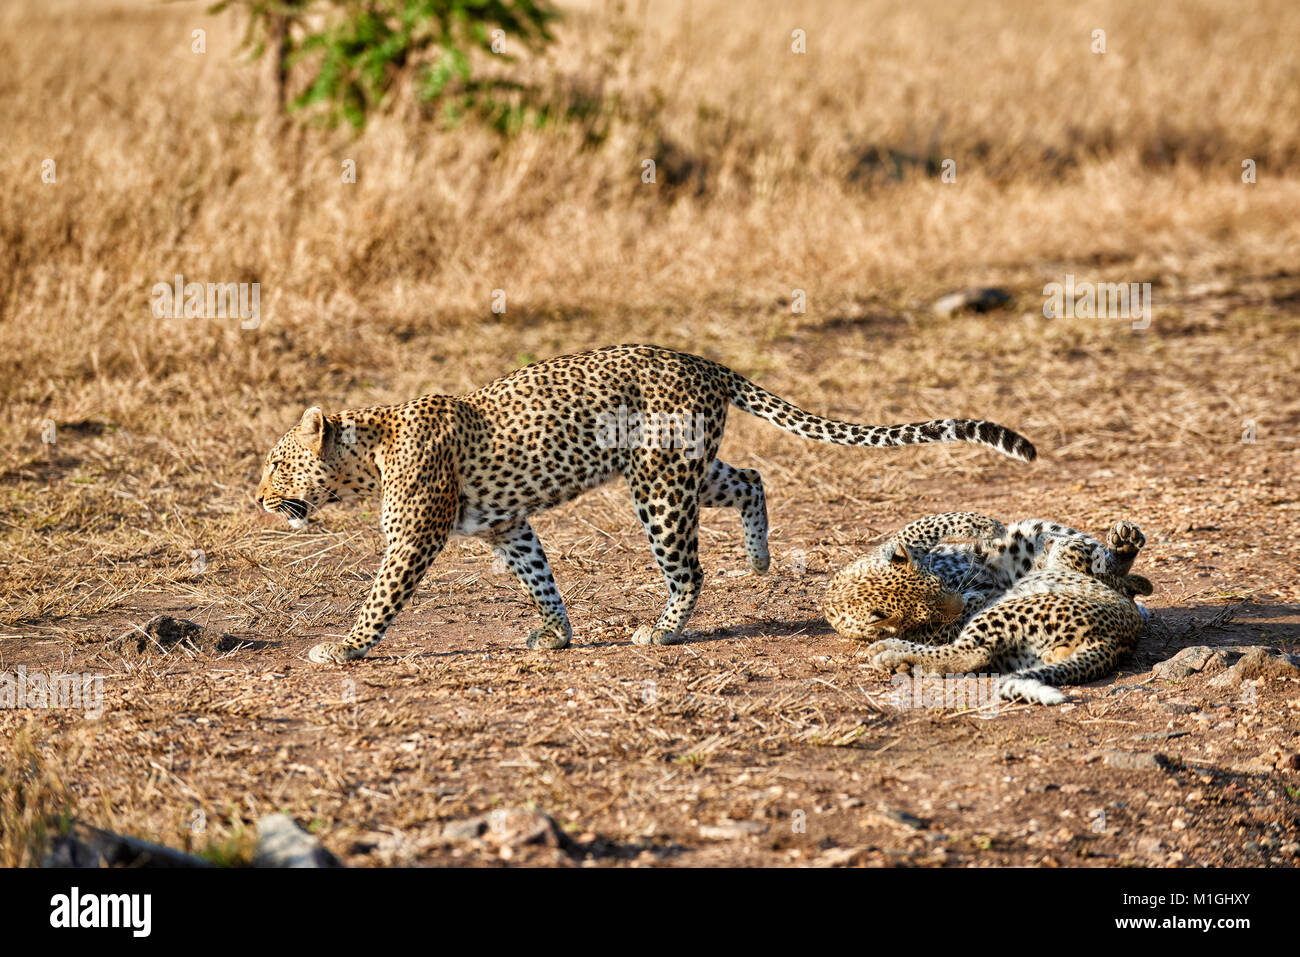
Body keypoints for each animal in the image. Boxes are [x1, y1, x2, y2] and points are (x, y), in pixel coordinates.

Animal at [255, 344, 1036, 664]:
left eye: (274, 463)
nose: (260, 498)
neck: (368, 452)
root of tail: (707, 363)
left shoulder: (415, 537)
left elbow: (380, 596)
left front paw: (344, 647)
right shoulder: (508, 524)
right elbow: (539, 576)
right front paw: (556, 634)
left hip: (656, 484)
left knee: (689, 568)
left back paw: (662, 631)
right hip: (687, 468)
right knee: (751, 477)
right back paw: (760, 558)